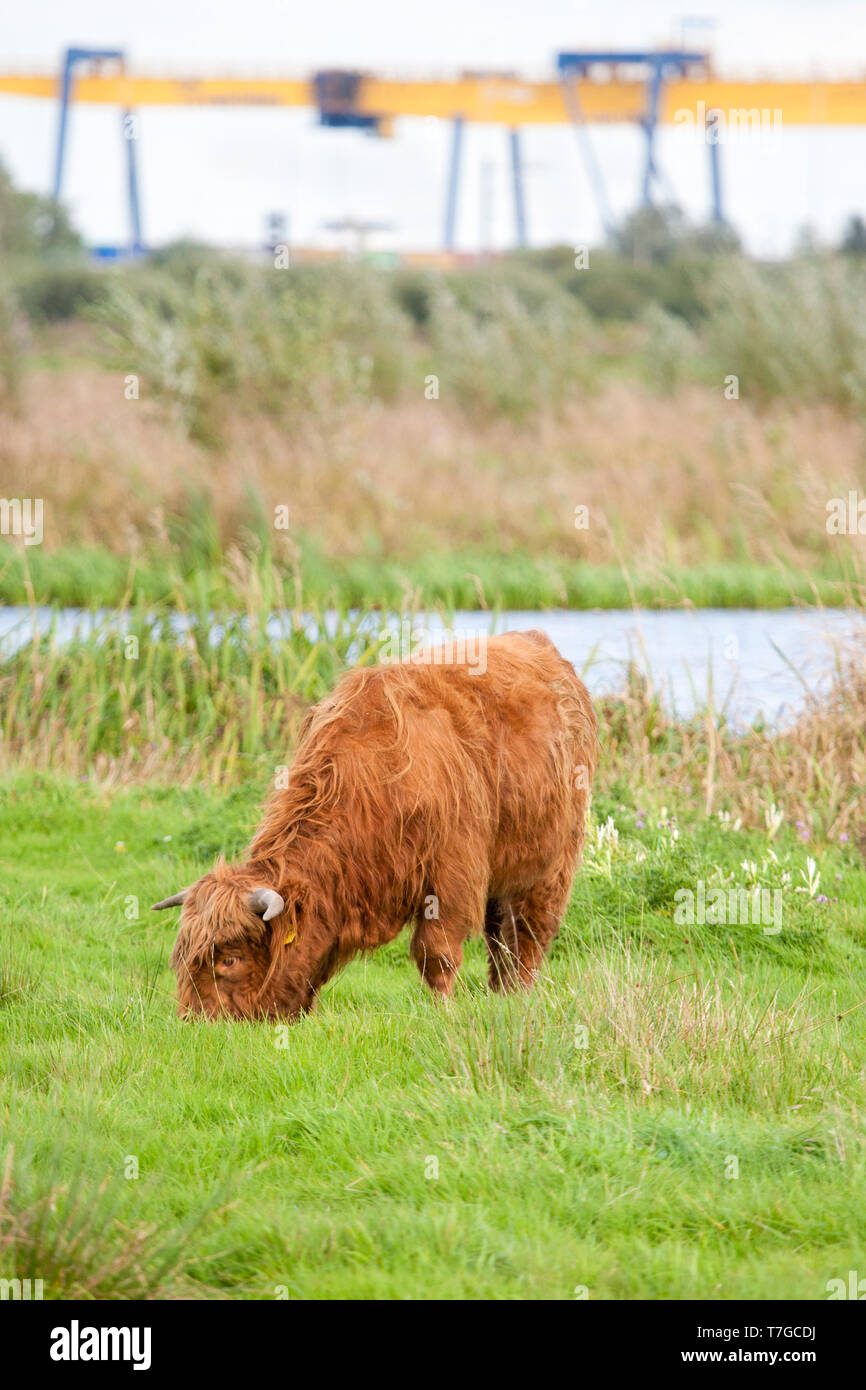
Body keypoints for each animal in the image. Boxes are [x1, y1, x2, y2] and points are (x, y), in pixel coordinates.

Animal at [153, 629, 597, 1019]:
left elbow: (436, 952)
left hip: (551, 862)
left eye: (230, 959)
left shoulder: (452, 875)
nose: (195, 1020)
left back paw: (517, 995)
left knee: (529, 932)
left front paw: (444, 1011)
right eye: (183, 958)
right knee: (499, 937)